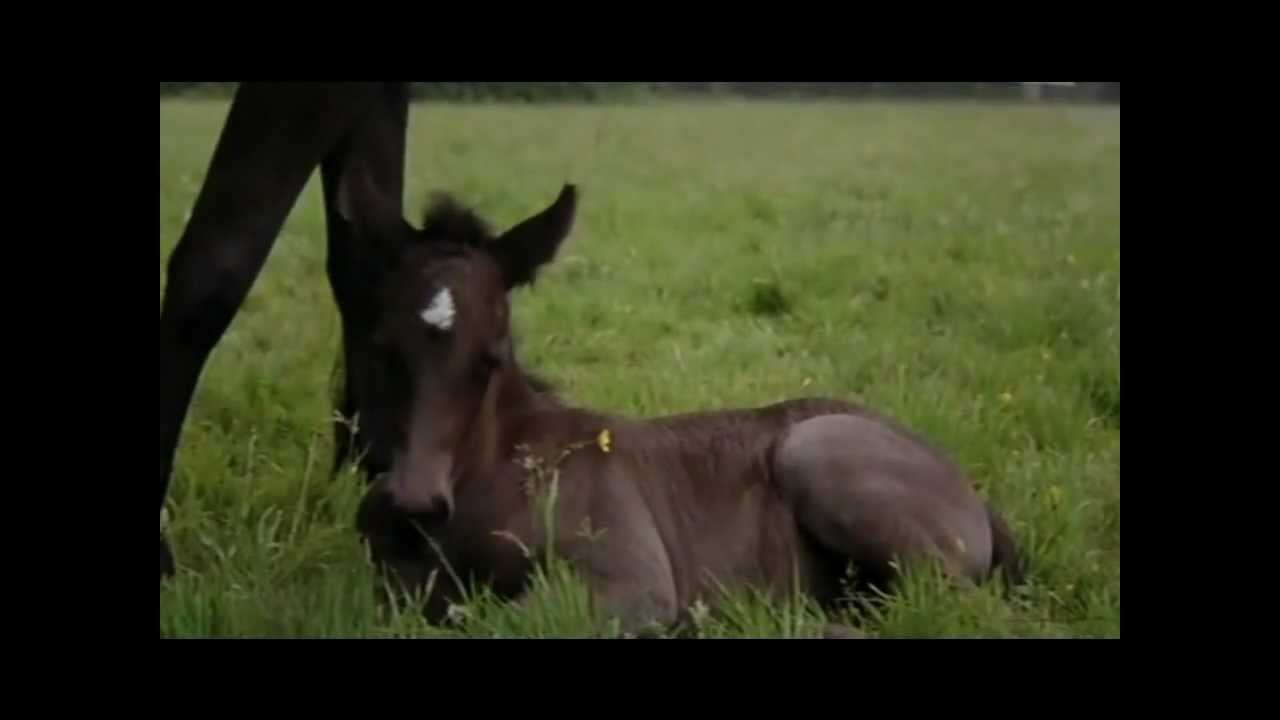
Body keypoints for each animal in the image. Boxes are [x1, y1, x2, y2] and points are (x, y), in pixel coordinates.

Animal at [339, 173, 1027, 637]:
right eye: (382, 348)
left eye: (490, 357)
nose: (415, 502)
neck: (499, 466)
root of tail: (969, 490)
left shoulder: (631, 580)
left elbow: (496, 620)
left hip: (819, 453)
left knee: (958, 606)